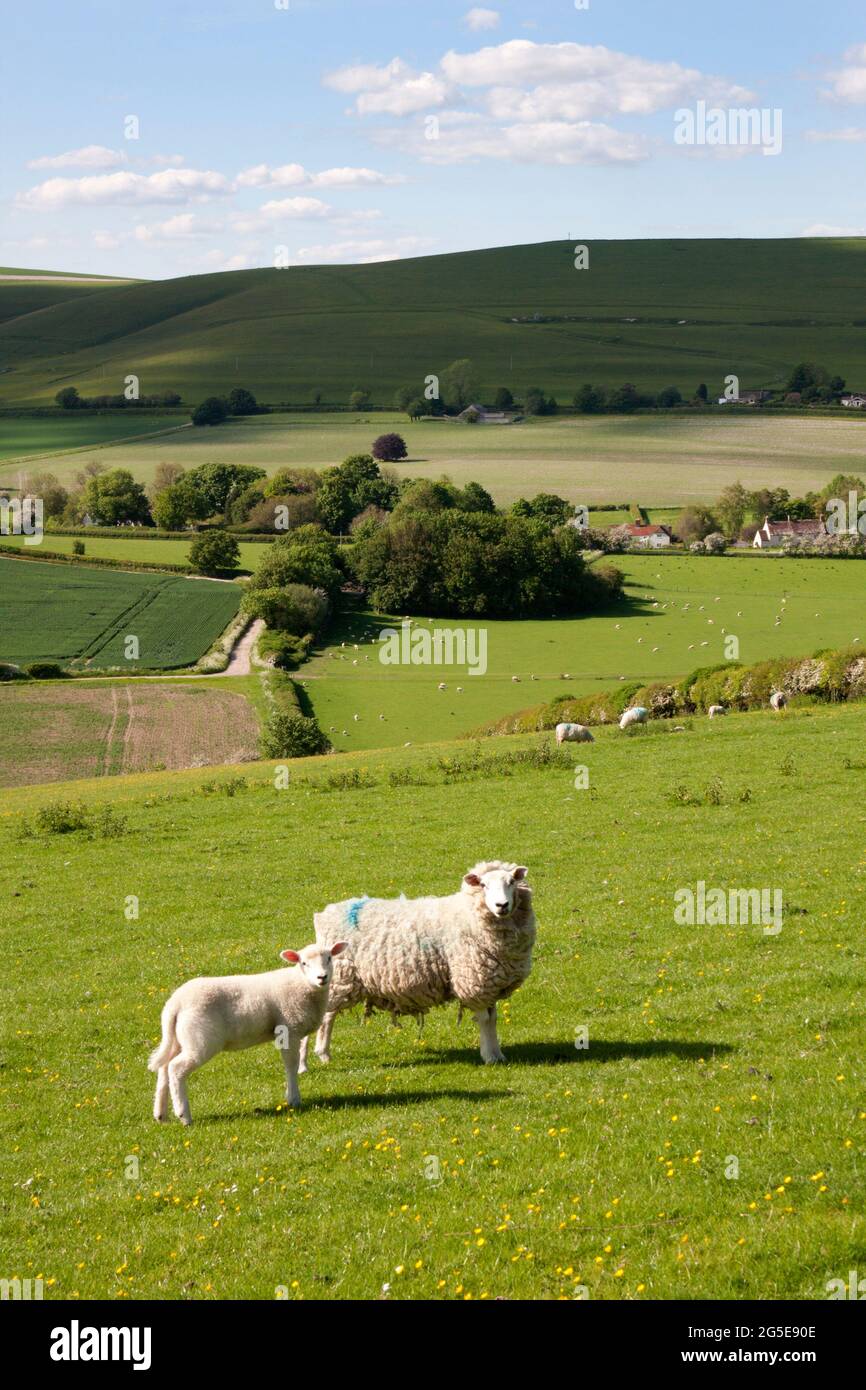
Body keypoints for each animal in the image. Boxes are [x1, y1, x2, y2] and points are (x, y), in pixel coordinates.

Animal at [148, 942, 348, 1124]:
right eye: (304, 963)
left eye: (329, 958)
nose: (322, 977)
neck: (301, 983)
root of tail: (175, 1003)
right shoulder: (289, 1029)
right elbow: (291, 1064)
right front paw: (294, 1099)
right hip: (200, 1040)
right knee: (176, 1068)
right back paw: (184, 1116)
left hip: (178, 1039)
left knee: (164, 1069)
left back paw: (161, 1115)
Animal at [301, 862, 536, 1069]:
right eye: (484, 885)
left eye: (511, 882)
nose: (502, 906)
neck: (468, 914)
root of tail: (326, 914)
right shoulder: (473, 981)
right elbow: (485, 1019)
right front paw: (489, 1057)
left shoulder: (491, 983)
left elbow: (493, 1018)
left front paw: (498, 1054)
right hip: (340, 978)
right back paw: (312, 1060)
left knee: (326, 1016)